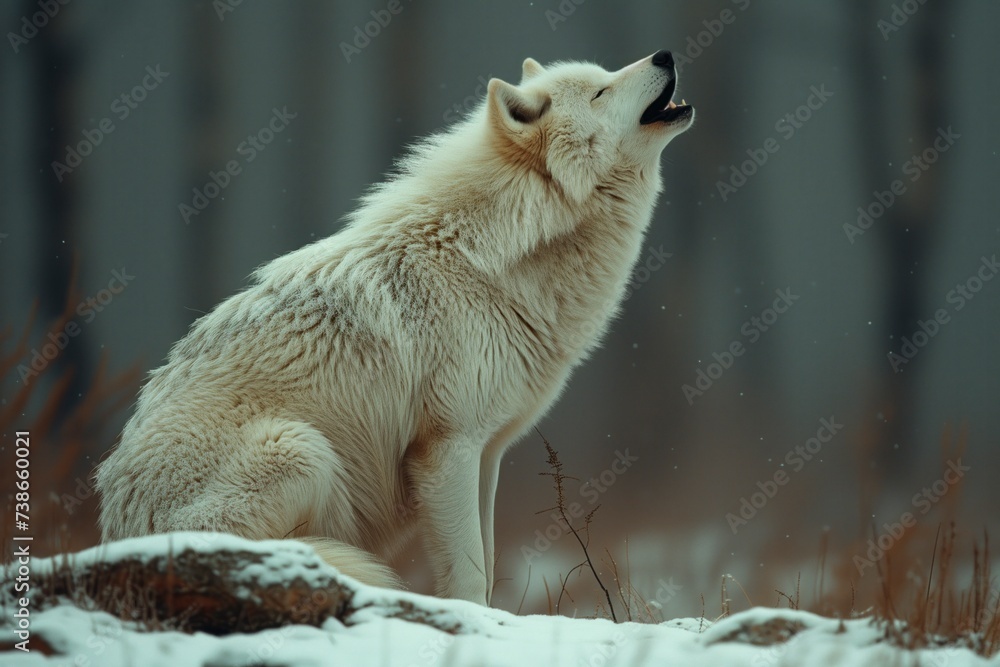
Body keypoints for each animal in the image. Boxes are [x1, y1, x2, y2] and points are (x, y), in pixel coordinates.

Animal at [95, 50, 694, 605]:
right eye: (600, 91)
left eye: (606, 75)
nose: (665, 55)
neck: (492, 259)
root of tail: (116, 530)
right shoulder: (448, 450)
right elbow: (469, 576)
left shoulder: (488, 455)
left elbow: (487, 564)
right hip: (298, 448)